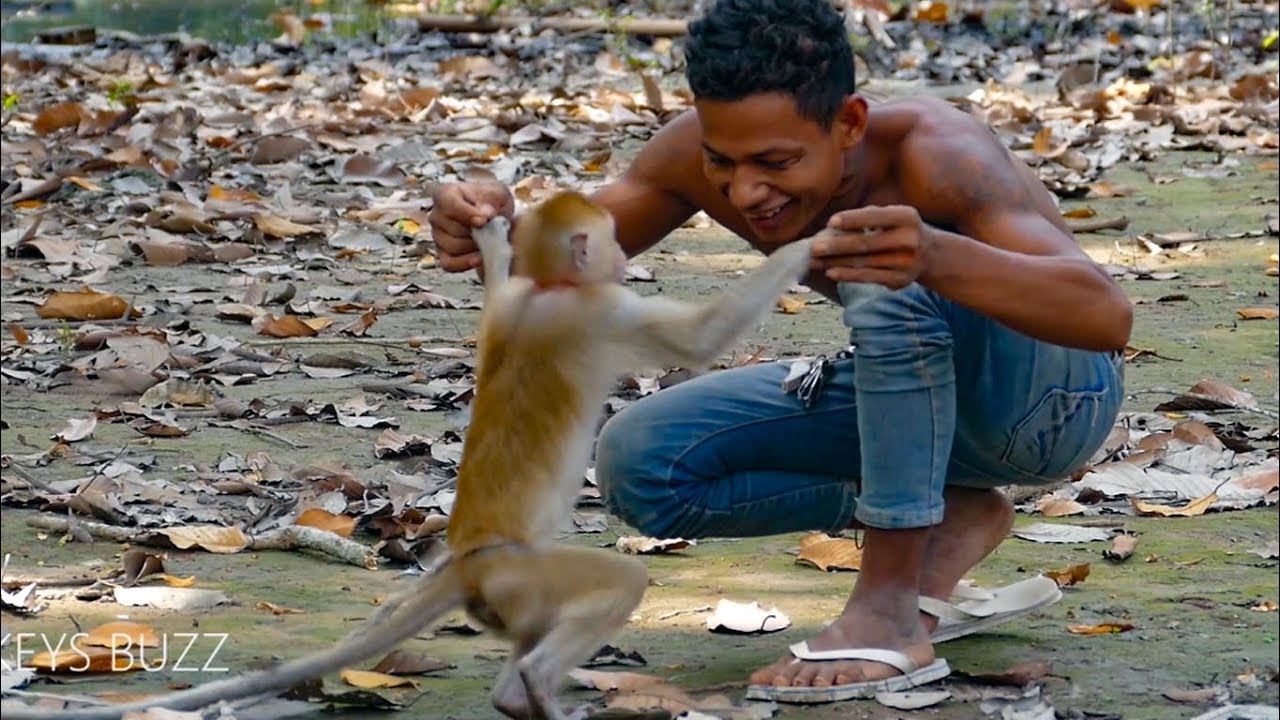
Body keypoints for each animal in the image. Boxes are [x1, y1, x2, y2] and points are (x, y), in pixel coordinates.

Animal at [2, 191, 815, 720]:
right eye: (609, 243)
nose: (619, 254)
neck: (549, 290)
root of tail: (467, 562)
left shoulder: (522, 301)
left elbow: (494, 295)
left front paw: (491, 239)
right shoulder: (600, 309)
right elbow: (700, 340)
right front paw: (812, 242)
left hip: (511, 596)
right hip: (528, 576)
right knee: (616, 582)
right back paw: (531, 688)